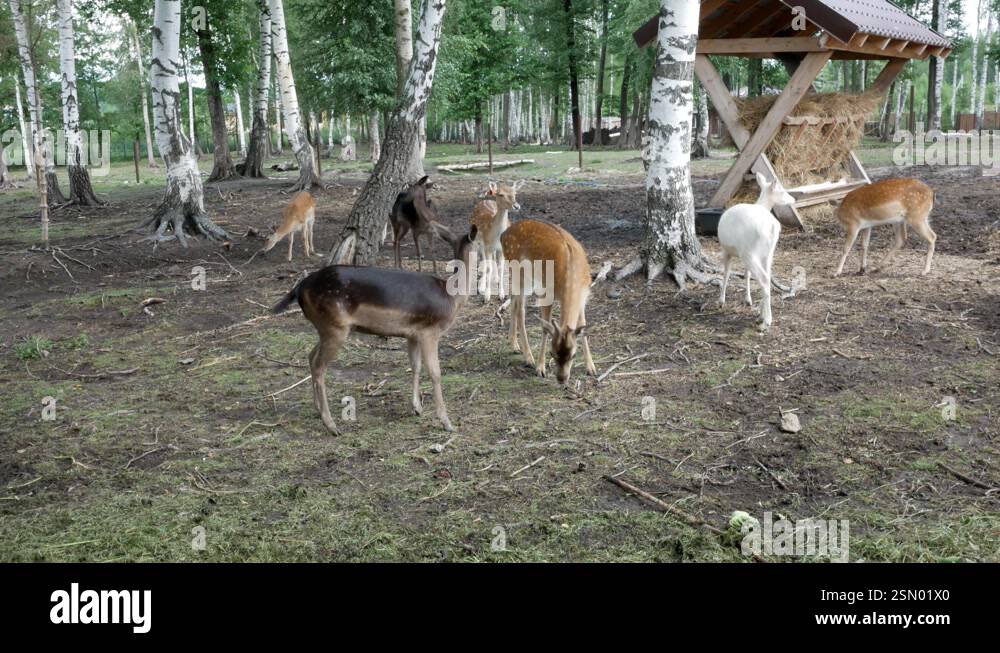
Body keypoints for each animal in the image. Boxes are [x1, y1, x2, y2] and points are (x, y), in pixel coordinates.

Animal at [271, 224, 479, 434]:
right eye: (480, 242)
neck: (452, 298)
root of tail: (299, 287)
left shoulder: (413, 334)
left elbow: (415, 366)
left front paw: (417, 408)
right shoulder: (430, 331)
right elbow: (435, 373)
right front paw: (447, 423)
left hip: (326, 327)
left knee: (311, 356)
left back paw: (317, 409)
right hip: (335, 327)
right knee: (320, 366)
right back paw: (331, 425)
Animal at [500, 220, 597, 384]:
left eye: (573, 355)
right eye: (552, 353)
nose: (561, 379)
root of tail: (503, 235)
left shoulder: (584, 295)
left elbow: (583, 325)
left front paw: (591, 368)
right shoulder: (546, 292)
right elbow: (545, 327)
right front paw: (541, 369)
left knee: (513, 301)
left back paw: (514, 345)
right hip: (519, 272)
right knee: (520, 309)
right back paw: (529, 358)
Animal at [717, 172, 794, 328]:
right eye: (782, 190)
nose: (793, 199)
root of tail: (771, 227)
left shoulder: (726, 249)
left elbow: (726, 273)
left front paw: (721, 301)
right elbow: (745, 274)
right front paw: (748, 300)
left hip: (749, 252)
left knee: (764, 279)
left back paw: (767, 320)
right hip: (767, 253)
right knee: (766, 277)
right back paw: (761, 315)